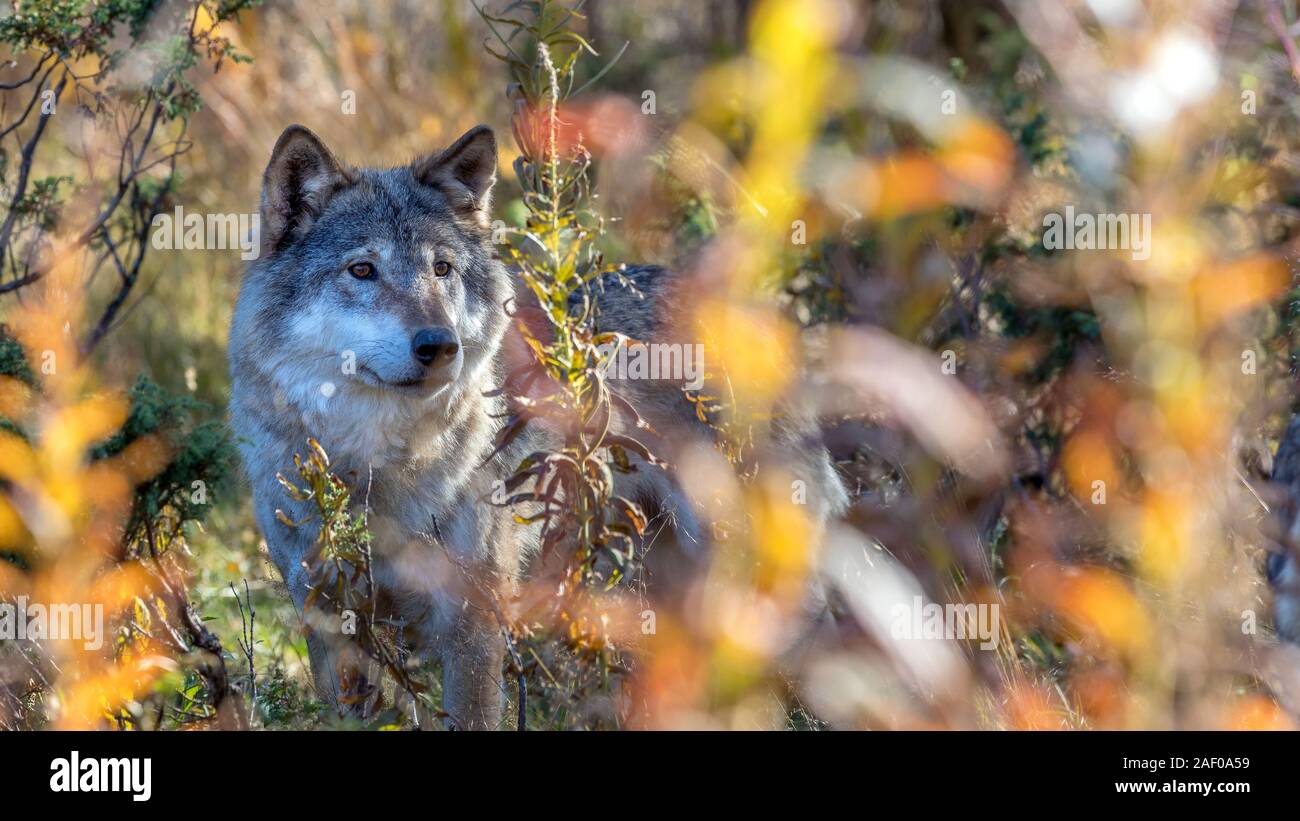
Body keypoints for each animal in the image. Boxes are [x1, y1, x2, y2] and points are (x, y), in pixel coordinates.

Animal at [228, 124, 847, 729]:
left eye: (441, 269)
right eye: (362, 270)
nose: (439, 346)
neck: (377, 470)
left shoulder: (473, 625)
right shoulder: (329, 623)